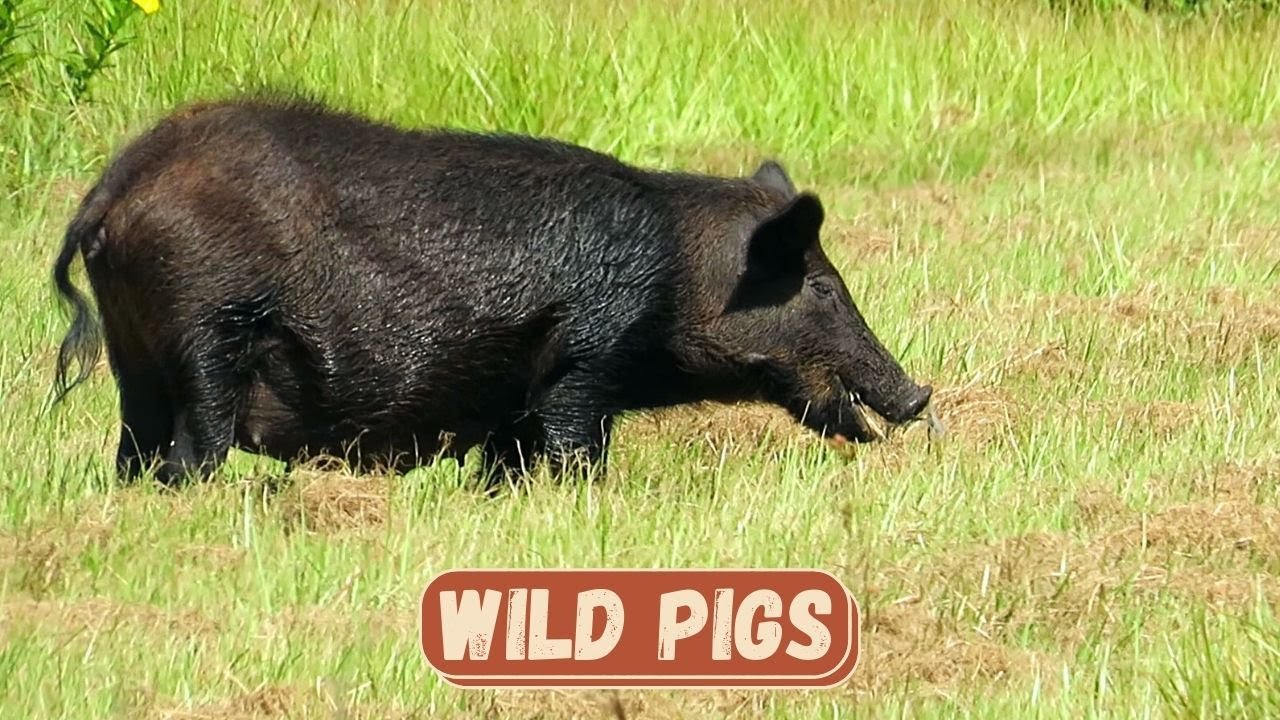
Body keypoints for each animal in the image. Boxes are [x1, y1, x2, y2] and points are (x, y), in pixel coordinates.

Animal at [51, 97, 932, 485]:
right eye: (821, 286)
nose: (922, 397)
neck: (678, 278)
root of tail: (117, 188)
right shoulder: (584, 360)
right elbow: (577, 448)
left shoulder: (515, 402)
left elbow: (507, 466)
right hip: (207, 331)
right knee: (193, 448)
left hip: (137, 360)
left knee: (132, 449)